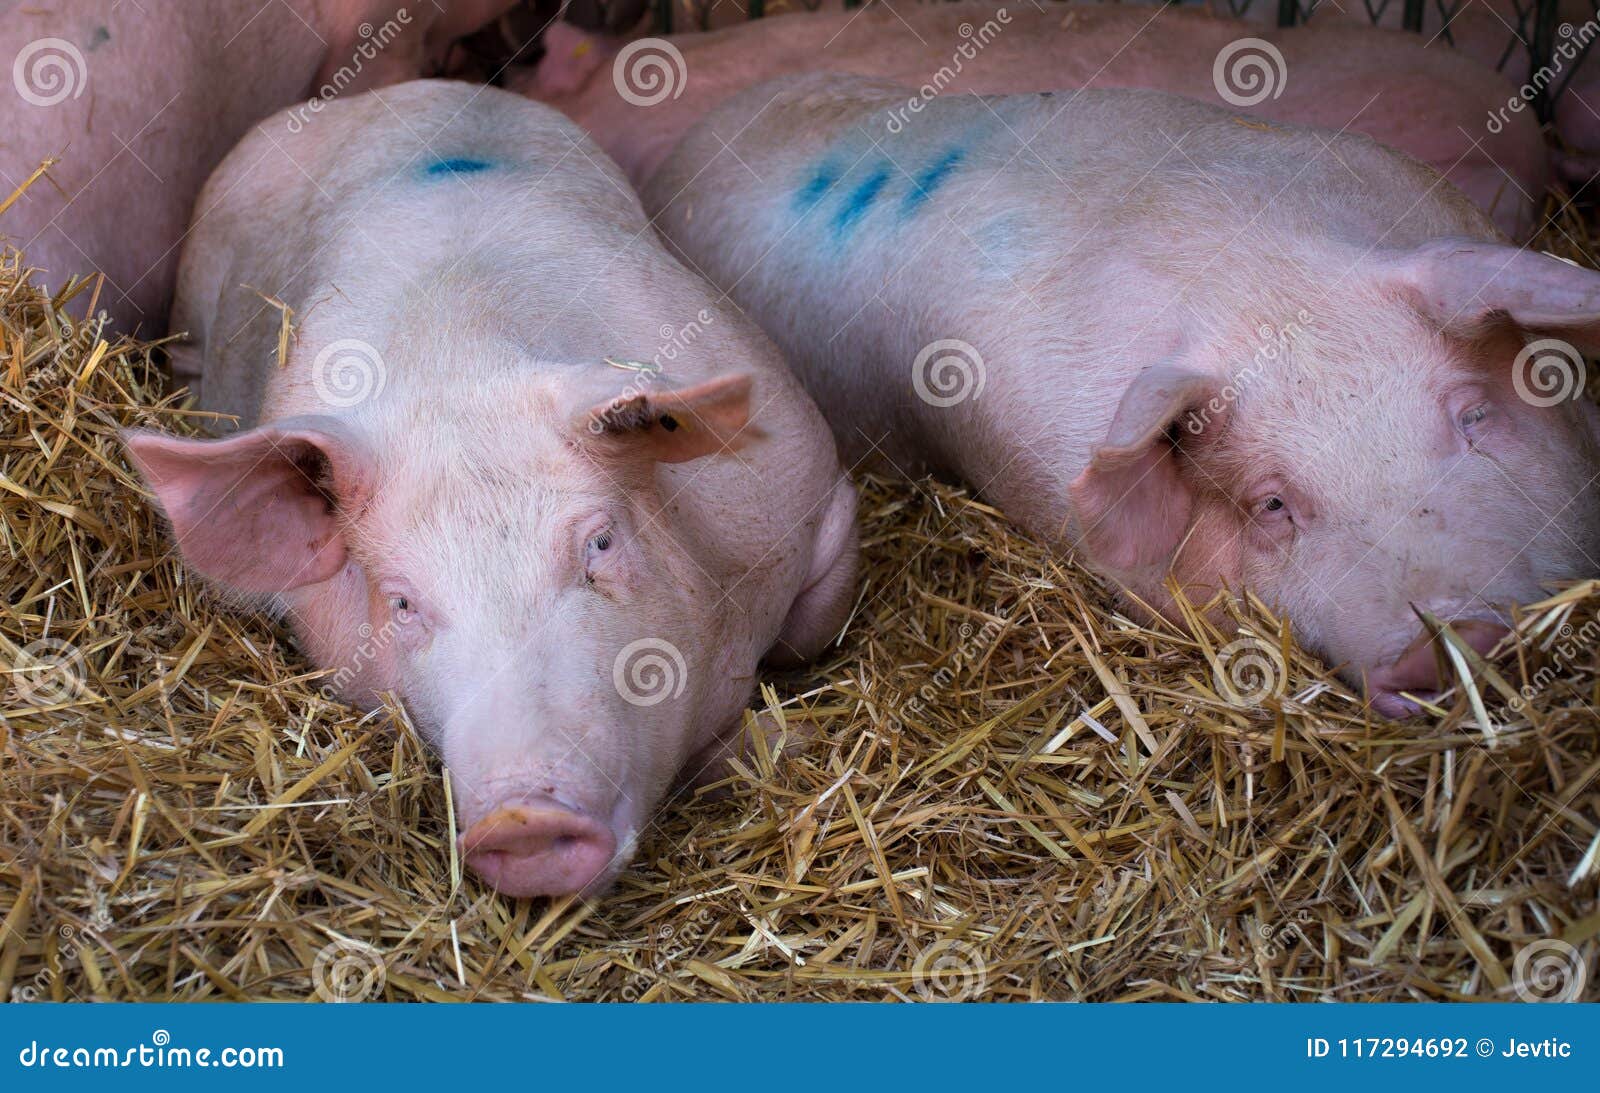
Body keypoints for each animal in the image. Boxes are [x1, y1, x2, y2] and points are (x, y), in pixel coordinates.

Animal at [120, 79, 859, 897]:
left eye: (601, 542)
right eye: (401, 602)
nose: (524, 817)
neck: (461, 353)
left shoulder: (813, 491)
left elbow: (813, 622)